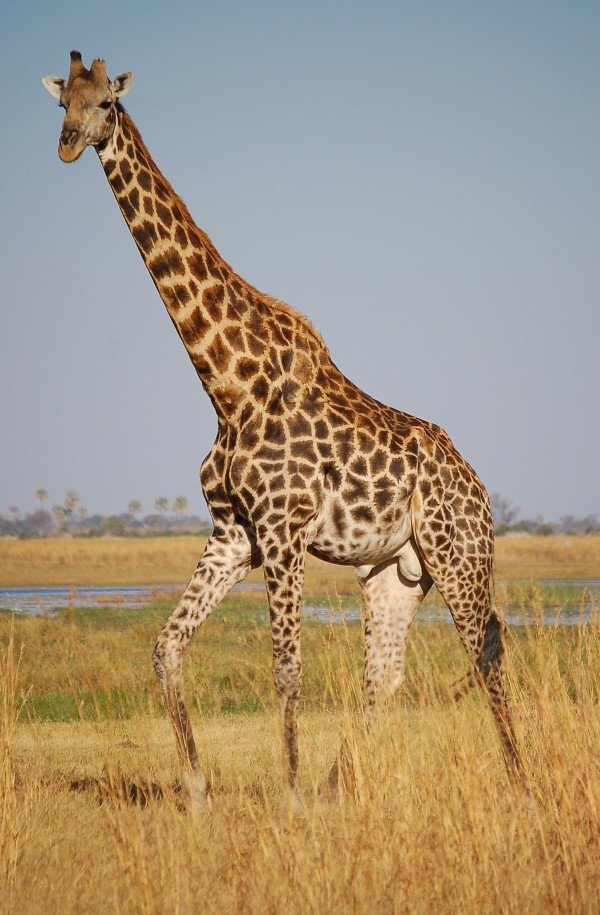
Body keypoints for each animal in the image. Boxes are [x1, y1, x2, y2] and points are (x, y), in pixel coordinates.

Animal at [43, 51, 527, 811]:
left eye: (106, 105)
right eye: (63, 100)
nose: (66, 144)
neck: (226, 385)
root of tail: (478, 485)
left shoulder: (282, 529)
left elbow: (286, 668)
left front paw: (290, 797)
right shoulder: (232, 532)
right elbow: (166, 646)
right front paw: (199, 790)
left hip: (460, 554)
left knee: (485, 654)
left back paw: (519, 786)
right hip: (395, 570)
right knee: (384, 674)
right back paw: (337, 788)